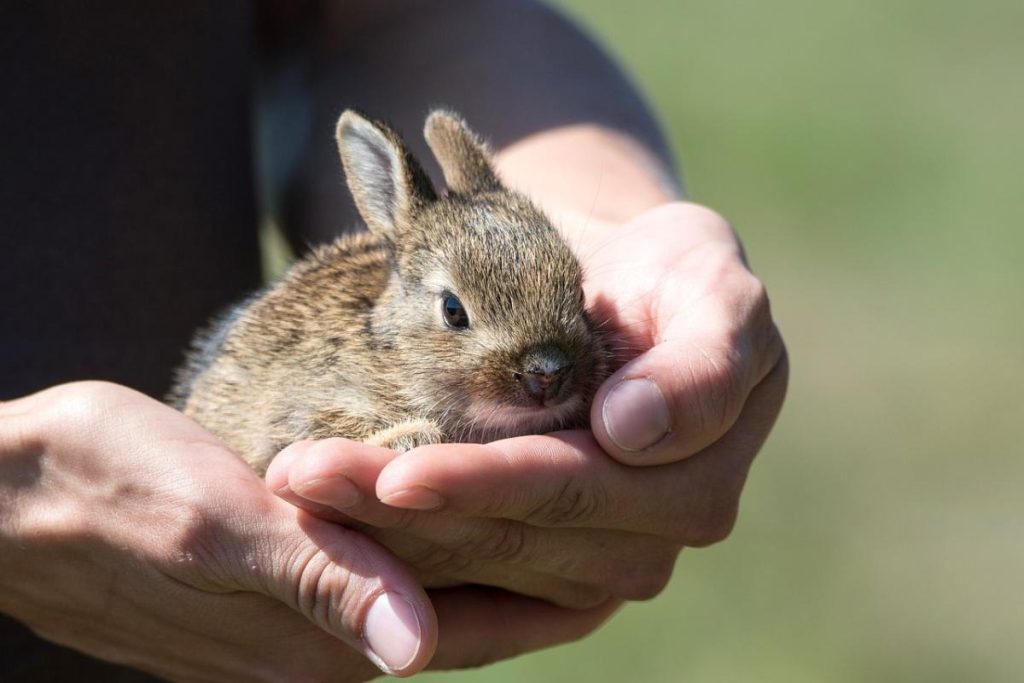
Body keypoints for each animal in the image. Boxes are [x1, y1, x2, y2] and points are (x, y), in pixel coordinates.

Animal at [170, 109, 610, 474]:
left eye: (579, 292)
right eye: (453, 310)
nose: (547, 372)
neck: (396, 355)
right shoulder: (297, 415)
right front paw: (411, 437)